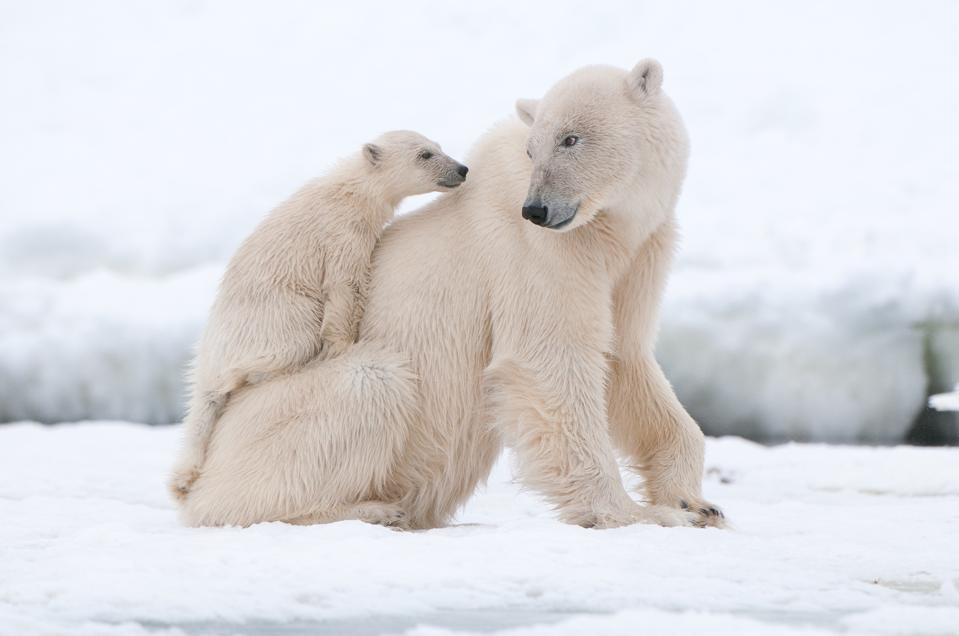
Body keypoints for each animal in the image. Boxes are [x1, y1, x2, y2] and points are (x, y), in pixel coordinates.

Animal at [168, 131, 468, 501]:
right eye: (425, 154)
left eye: (439, 147)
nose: (462, 168)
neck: (351, 190)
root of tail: (209, 354)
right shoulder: (342, 233)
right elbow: (344, 286)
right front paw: (341, 346)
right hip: (275, 316)